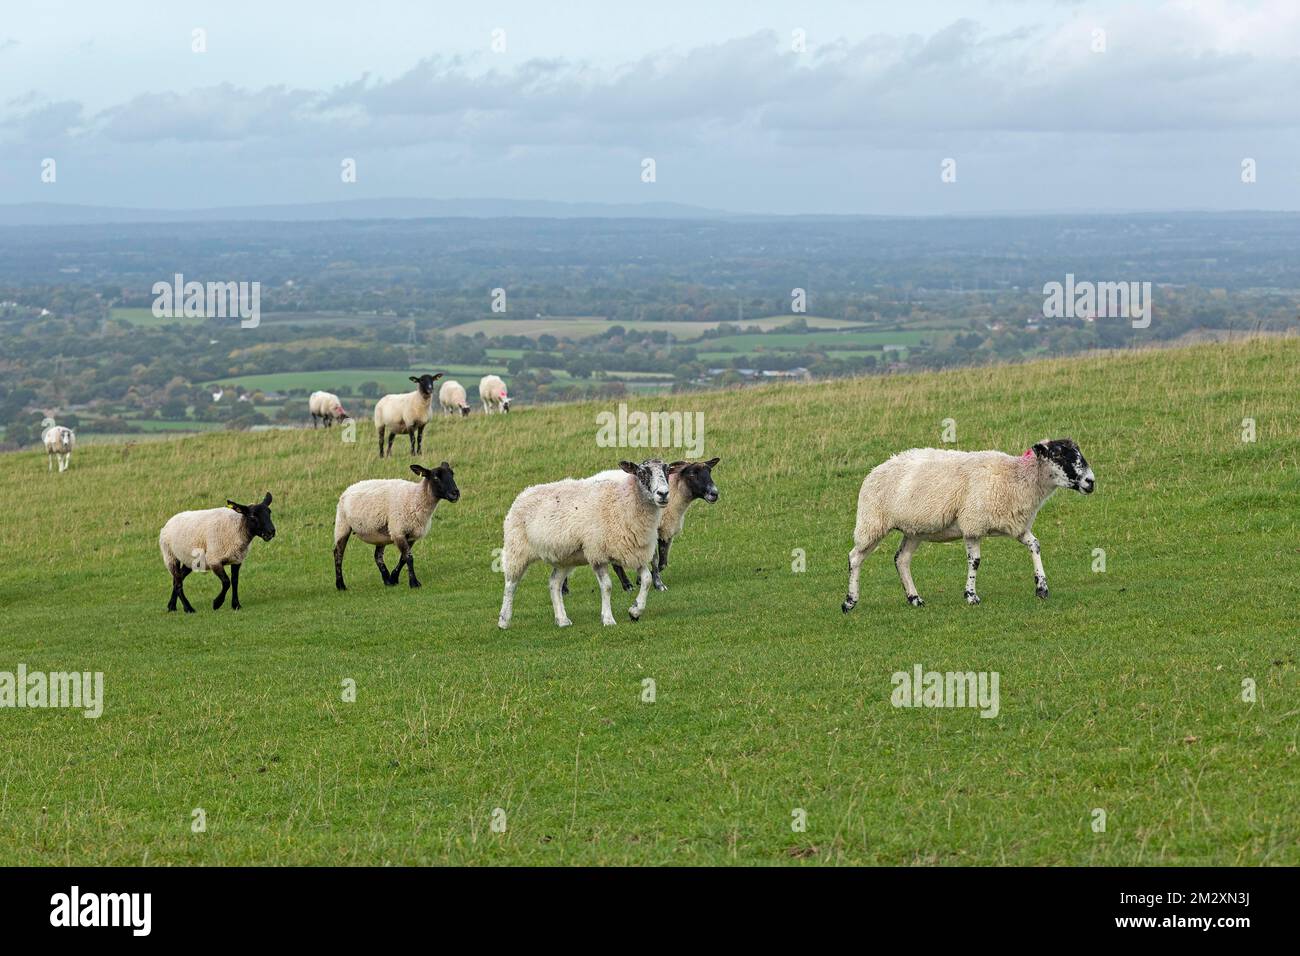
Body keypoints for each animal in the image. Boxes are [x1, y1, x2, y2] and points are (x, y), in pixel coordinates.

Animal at [497, 459, 679, 629]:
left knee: (554, 583)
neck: (622, 501)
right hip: (517, 549)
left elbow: (647, 579)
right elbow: (607, 586)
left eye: (667, 470)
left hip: (565, 558)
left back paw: (562, 620)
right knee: (510, 585)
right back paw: (503, 621)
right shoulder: (597, 553)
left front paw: (635, 611)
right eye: (642, 473)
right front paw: (608, 619)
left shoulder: (634, 551)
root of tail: (524, 492)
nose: (663, 493)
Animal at [563, 457, 720, 595]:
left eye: (709, 471)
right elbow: (655, 560)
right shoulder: (651, 530)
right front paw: (657, 584)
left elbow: (663, 562)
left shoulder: (666, 529)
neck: (676, 493)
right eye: (693, 474)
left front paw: (643, 578)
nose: (714, 493)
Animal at [842, 438, 1095, 611]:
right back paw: (849, 602)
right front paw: (971, 596)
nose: (1091, 481)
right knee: (855, 557)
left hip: (915, 530)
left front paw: (1041, 588)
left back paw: (915, 599)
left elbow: (1035, 545)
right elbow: (975, 561)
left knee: (901, 559)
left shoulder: (1015, 525)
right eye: (1058, 454)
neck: (1017, 478)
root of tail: (876, 469)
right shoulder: (972, 524)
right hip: (872, 522)